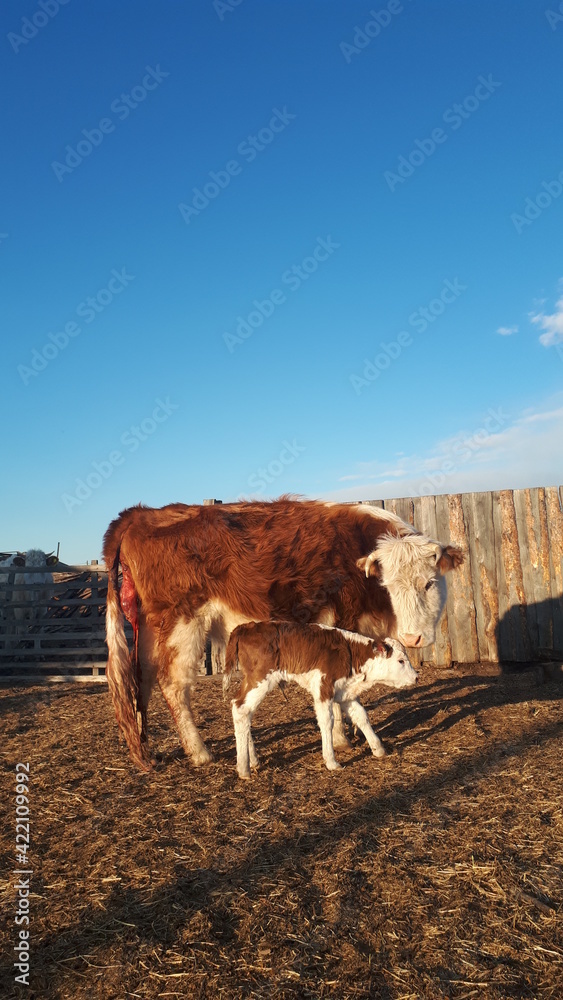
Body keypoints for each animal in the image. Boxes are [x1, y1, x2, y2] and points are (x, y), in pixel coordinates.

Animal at [223, 621, 418, 778]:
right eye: (401, 661)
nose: (416, 677)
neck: (349, 652)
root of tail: (246, 627)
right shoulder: (323, 689)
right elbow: (326, 722)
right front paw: (331, 761)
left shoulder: (345, 692)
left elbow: (361, 716)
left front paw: (378, 749)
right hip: (260, 680)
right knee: (240, 710)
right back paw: (243, 768)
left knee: (243, 712)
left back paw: (253, 760)